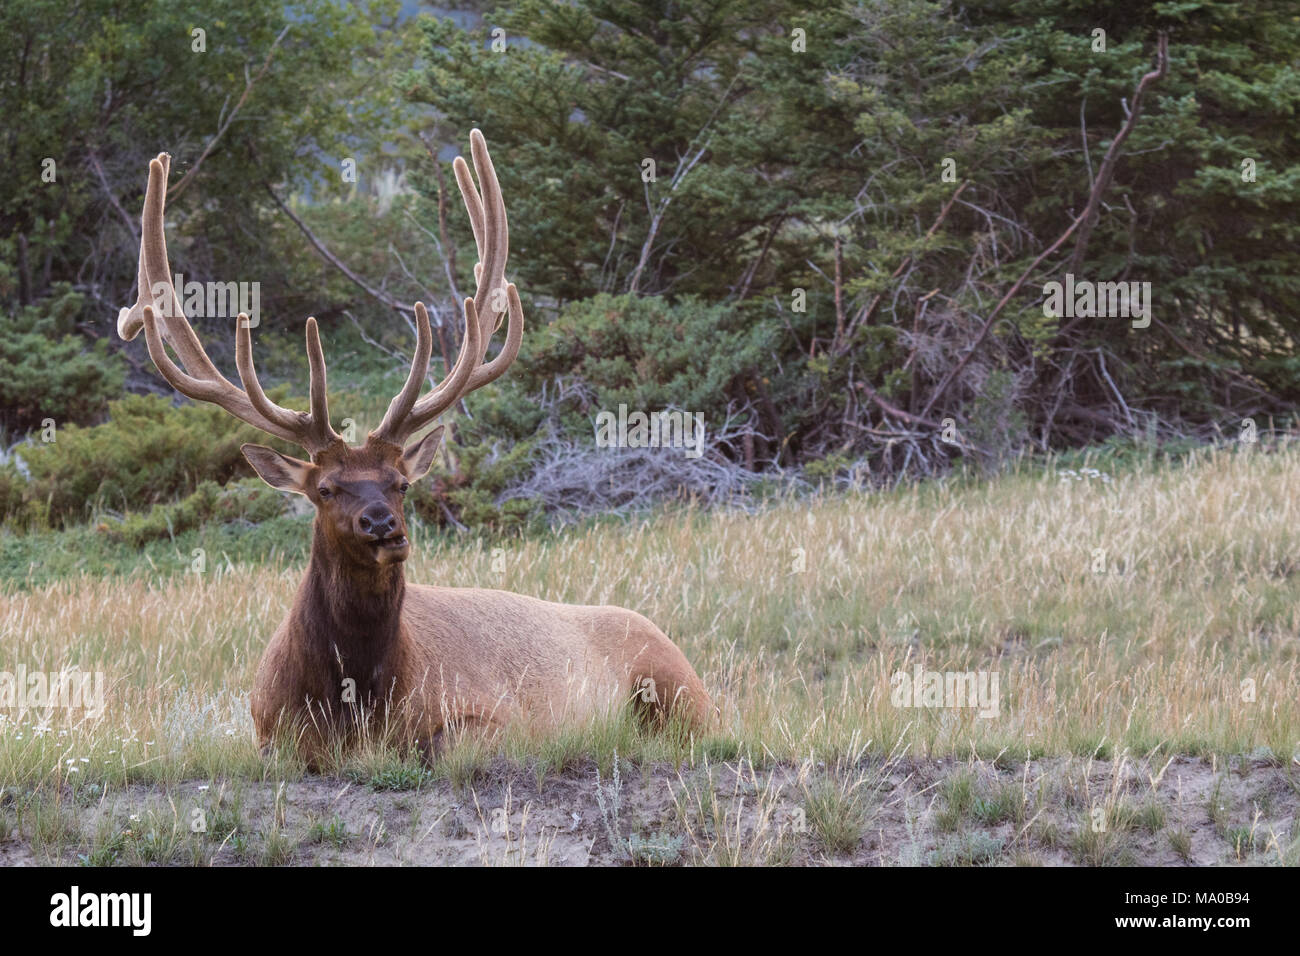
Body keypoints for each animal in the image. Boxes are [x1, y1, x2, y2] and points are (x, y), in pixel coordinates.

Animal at [115, 130, 713, 767]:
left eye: (401, 482)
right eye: (325, 489)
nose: (384, 527)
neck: (353, 707)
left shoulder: (496, 718)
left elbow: (442, 746)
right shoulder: (268, 731)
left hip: (681, 690)